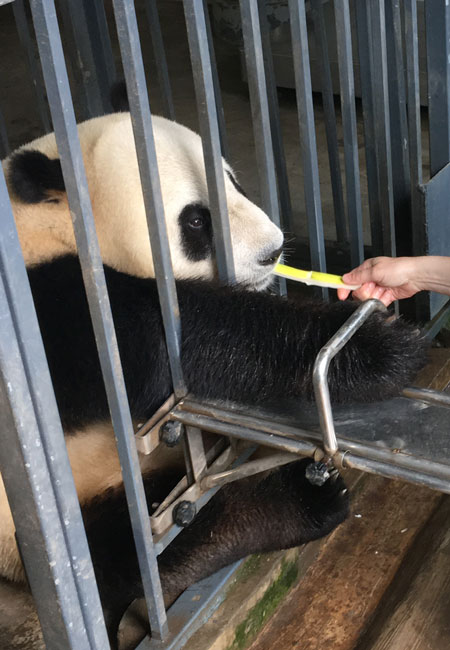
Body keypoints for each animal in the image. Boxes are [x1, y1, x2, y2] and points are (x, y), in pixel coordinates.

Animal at [1, 111, 428, 647]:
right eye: (196, 220)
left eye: (233, 181)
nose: (272, 252)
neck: (51, 223)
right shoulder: (48, 316)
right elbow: (159, 340)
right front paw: (374, 348)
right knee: (123, 547)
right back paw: (284, 505)